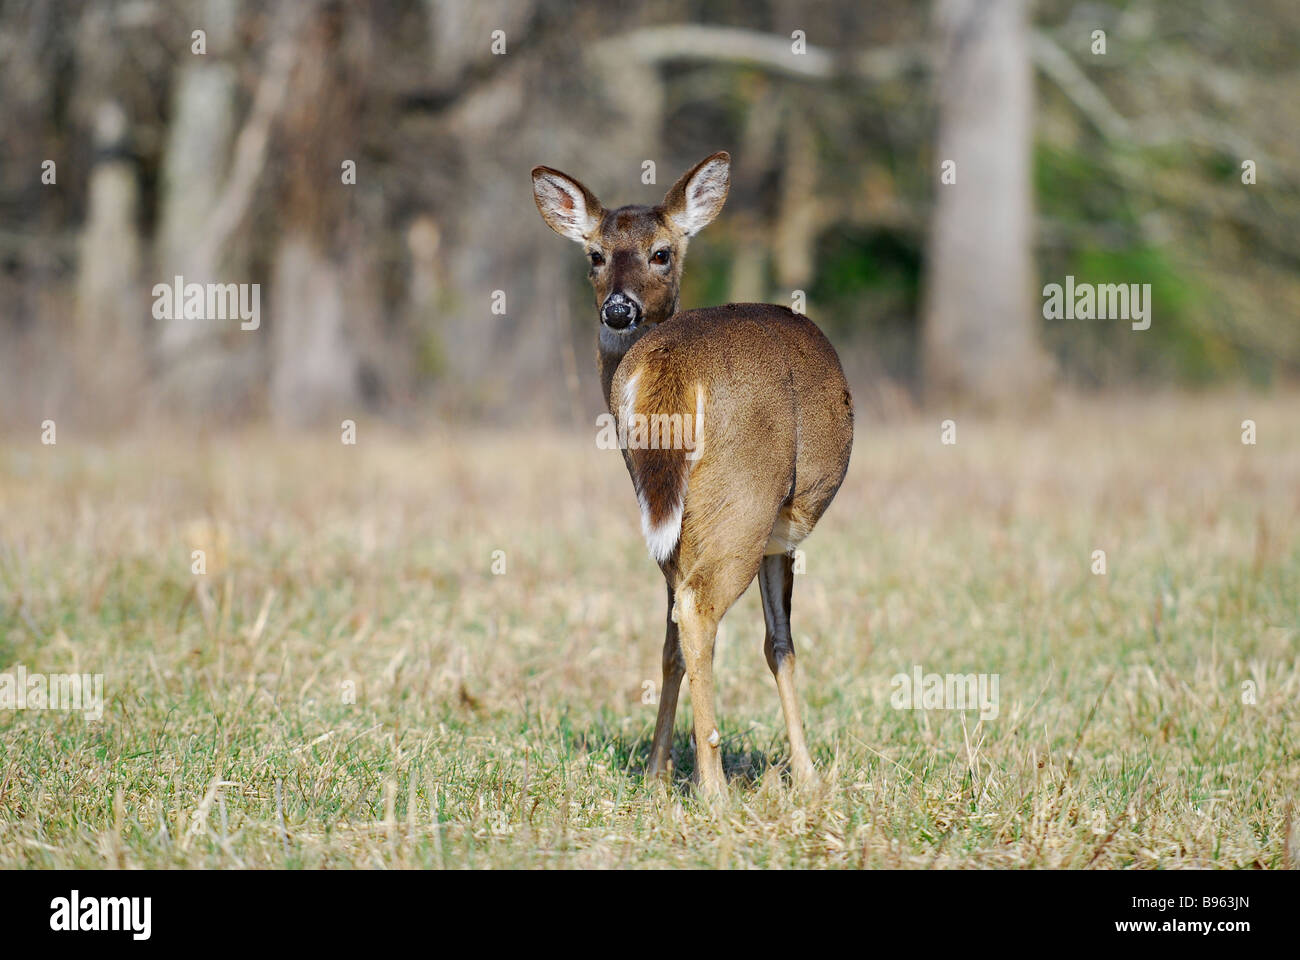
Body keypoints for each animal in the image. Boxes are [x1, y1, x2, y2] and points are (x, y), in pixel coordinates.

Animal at [531, 152, 853, 798]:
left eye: (661, 252)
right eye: (594, 255)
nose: (619, 309)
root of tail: (670, 363)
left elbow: (678, 647)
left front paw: (656, 773)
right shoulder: (781, 532)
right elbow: (780, 644)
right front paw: (807, 774)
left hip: (670, 512)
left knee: (679, 622)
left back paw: (673, 772)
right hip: (743, 500)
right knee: (701, 612)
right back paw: (715, 788)